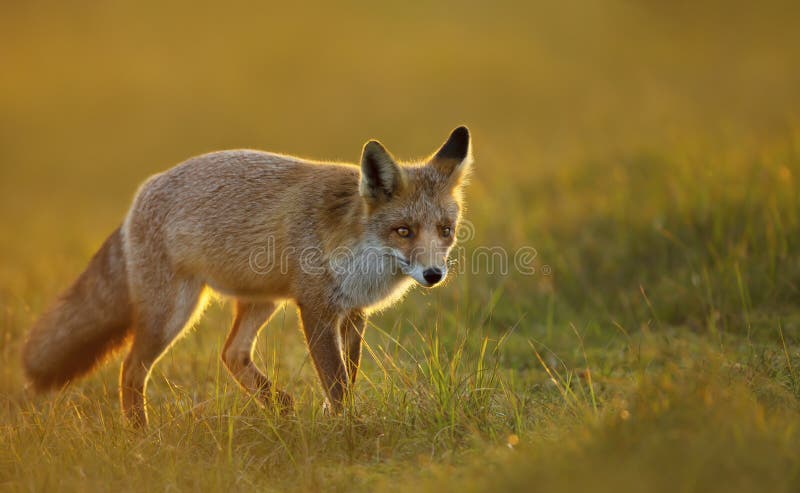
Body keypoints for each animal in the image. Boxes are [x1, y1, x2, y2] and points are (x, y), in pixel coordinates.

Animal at [22, 126, 473, 426]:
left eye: (444, 230)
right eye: (404, 231)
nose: (433, 274)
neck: (358, 249)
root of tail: (144, 190)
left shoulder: (353, 315)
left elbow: (347, 379)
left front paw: (334, 420)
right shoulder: (316, 309)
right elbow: (336, 382)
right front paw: (345, 431)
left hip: (261, 301)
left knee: (231, 353)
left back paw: (279, 407)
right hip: (173, 313)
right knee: (131, 369)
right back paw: (141, 437)